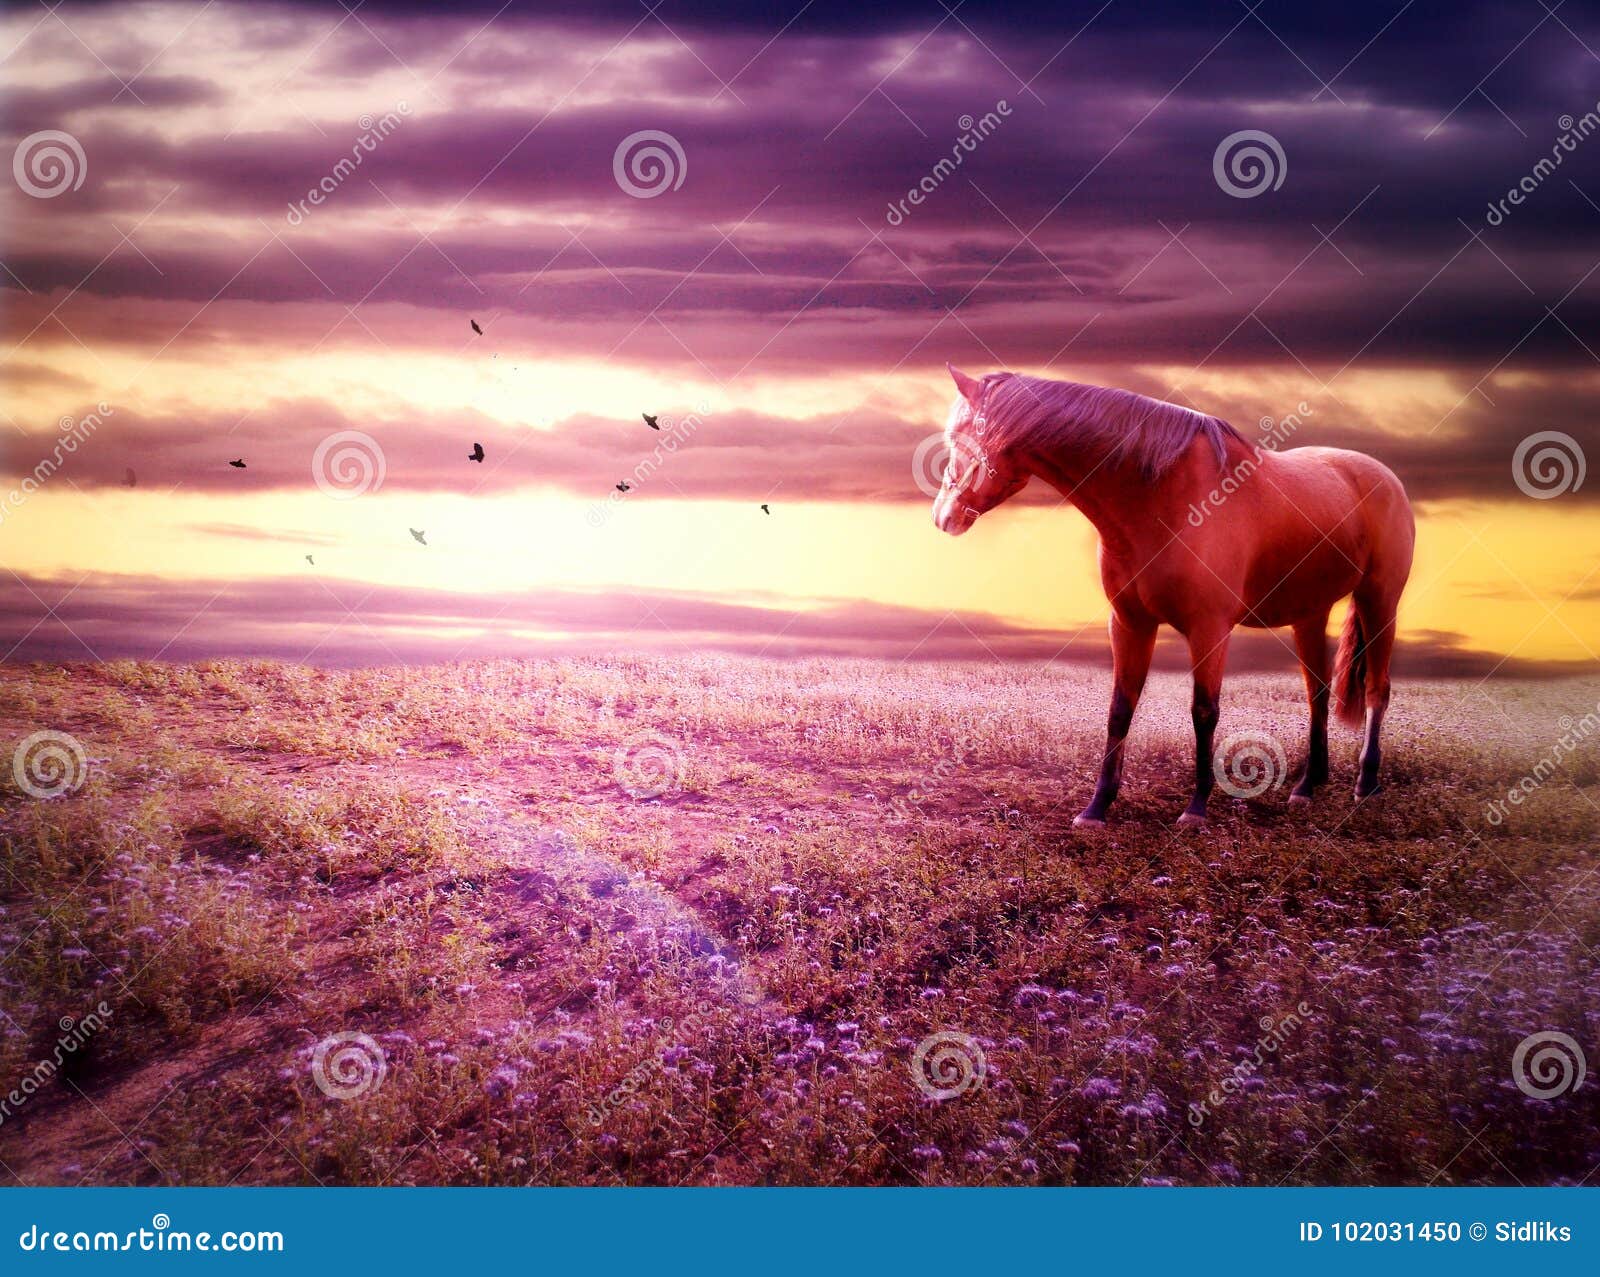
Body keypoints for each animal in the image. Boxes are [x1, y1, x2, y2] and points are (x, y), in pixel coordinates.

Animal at [931, 365, 1415, 828]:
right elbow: (1119, 709)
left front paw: (1196, 808)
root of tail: (1385, 477)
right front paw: (1097, 808)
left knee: (1377, 688)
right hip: (1309, 613)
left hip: (1379, 601)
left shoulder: (1209, 629)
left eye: (958, 438)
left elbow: (1204, 711)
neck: (1164, 496)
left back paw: (1366, 783)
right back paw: (1307, 786)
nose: (943, 517)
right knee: (1317, 693)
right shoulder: (1130, 622)